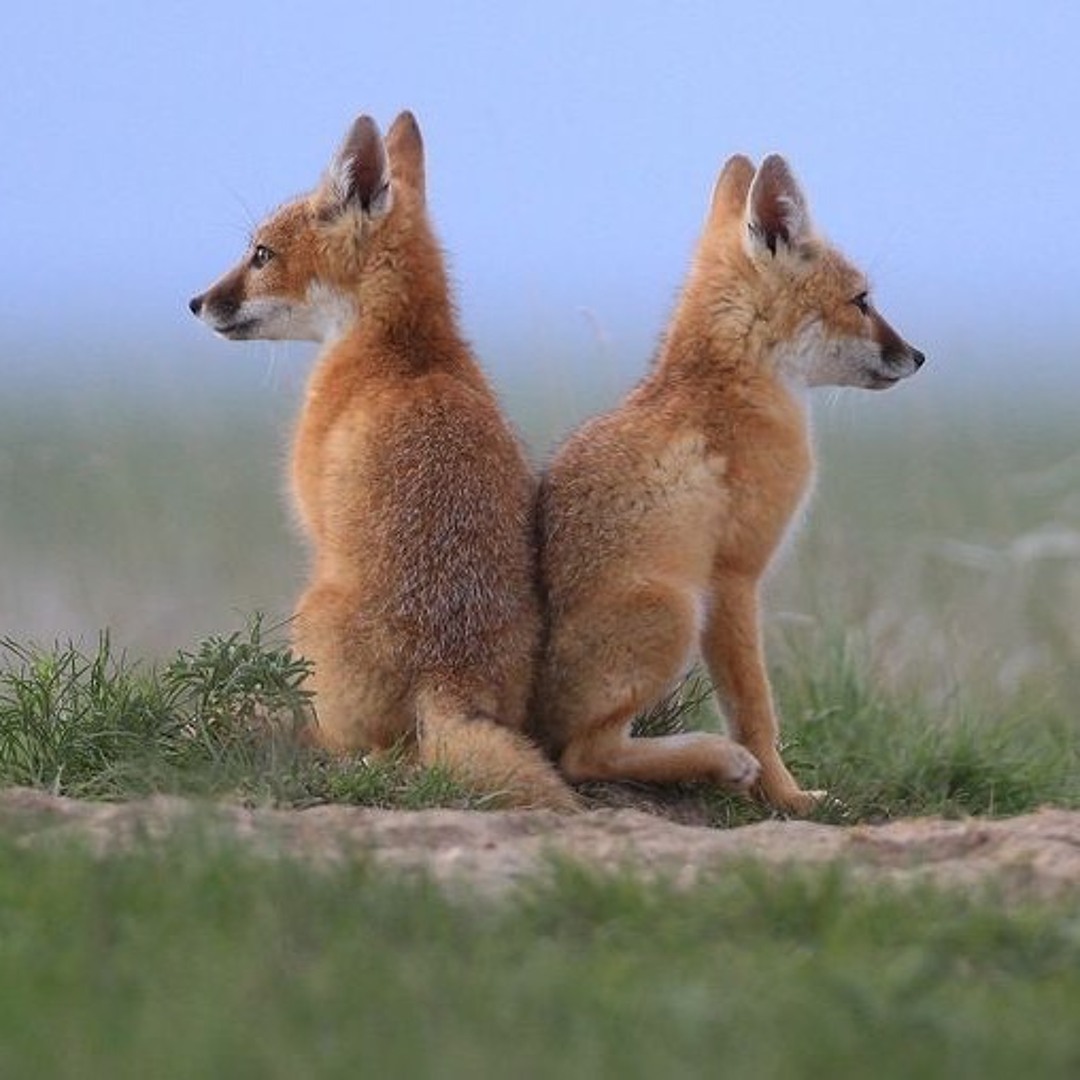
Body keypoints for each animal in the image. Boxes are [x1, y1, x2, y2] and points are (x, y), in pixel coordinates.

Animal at [189, 111, 578, 811]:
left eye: (261, 254)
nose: (196, 301)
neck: (407, 349)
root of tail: (449, 672)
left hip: (309, 610)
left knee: (360, 748)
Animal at [531, 153, 925, 815]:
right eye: (862, 301)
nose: (919, 357)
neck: (728, 384)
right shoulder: (736, 579)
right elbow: (756, 713)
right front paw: (787, 797)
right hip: (677, 612)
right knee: (582, 756)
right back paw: (716, 760)